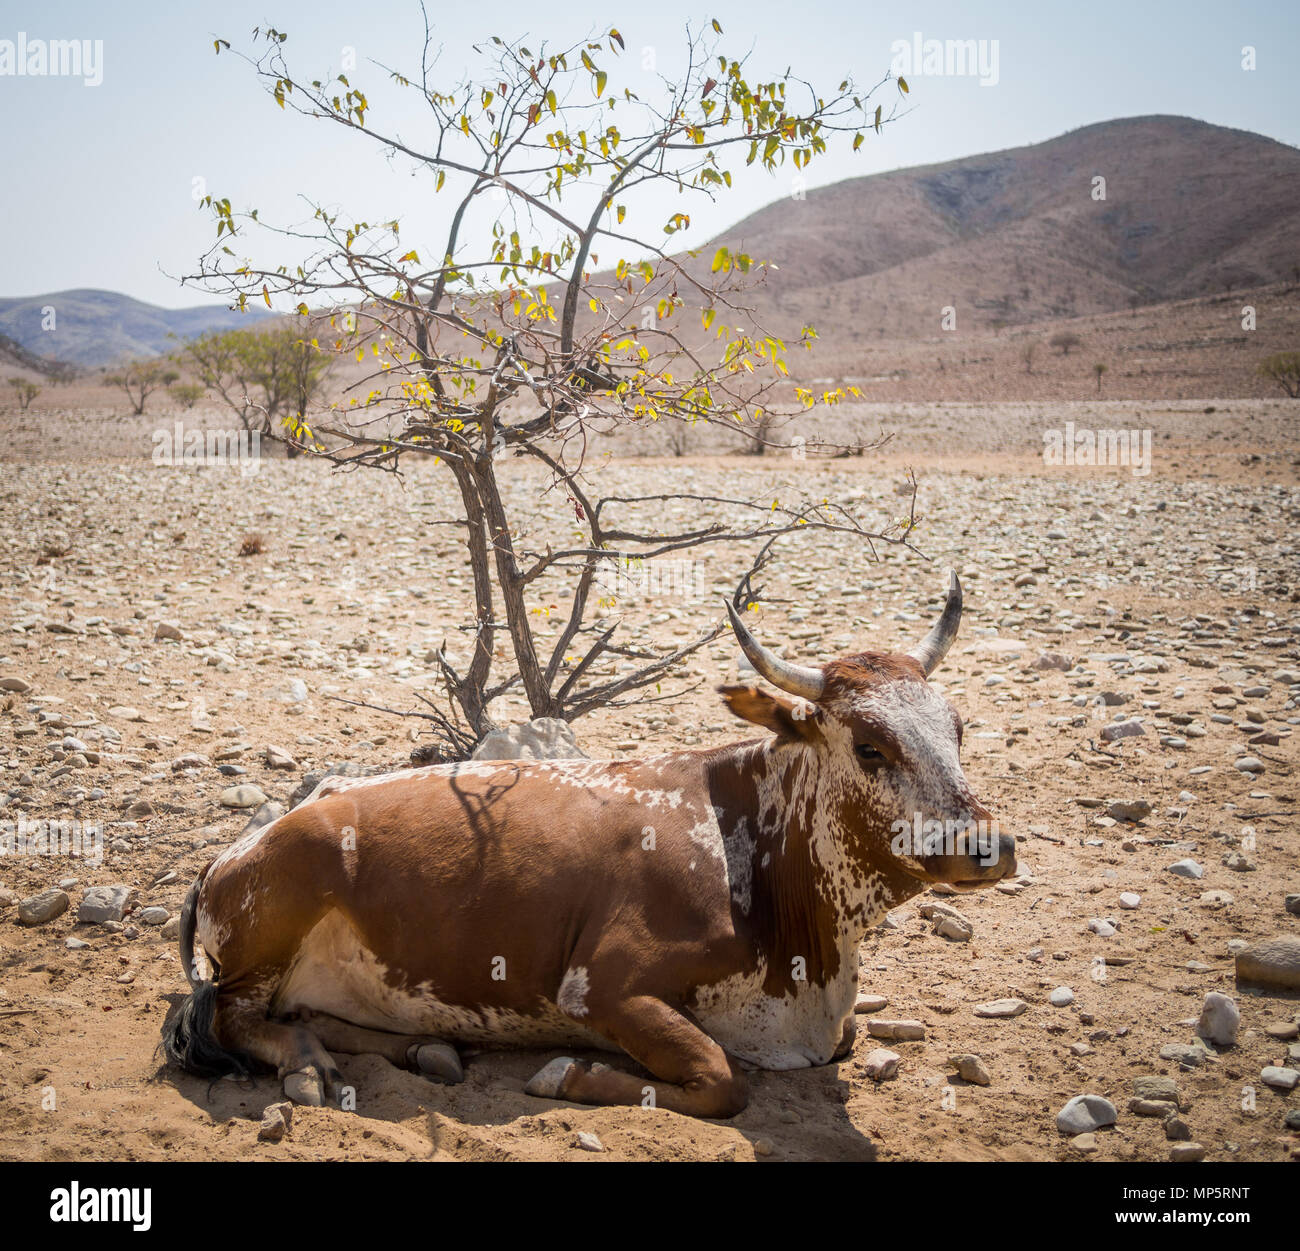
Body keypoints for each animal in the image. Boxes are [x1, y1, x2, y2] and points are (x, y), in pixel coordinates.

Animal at [162, 571, 1015, 1118]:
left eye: (957, 728)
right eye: (870, 745)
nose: (990, 845)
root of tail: (233, 850)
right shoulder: (603, 989)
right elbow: (720, 1080)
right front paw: (567, 1073)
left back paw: (413, 1047)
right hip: (262, 942)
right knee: (234, 1020)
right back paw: (309, 1065)